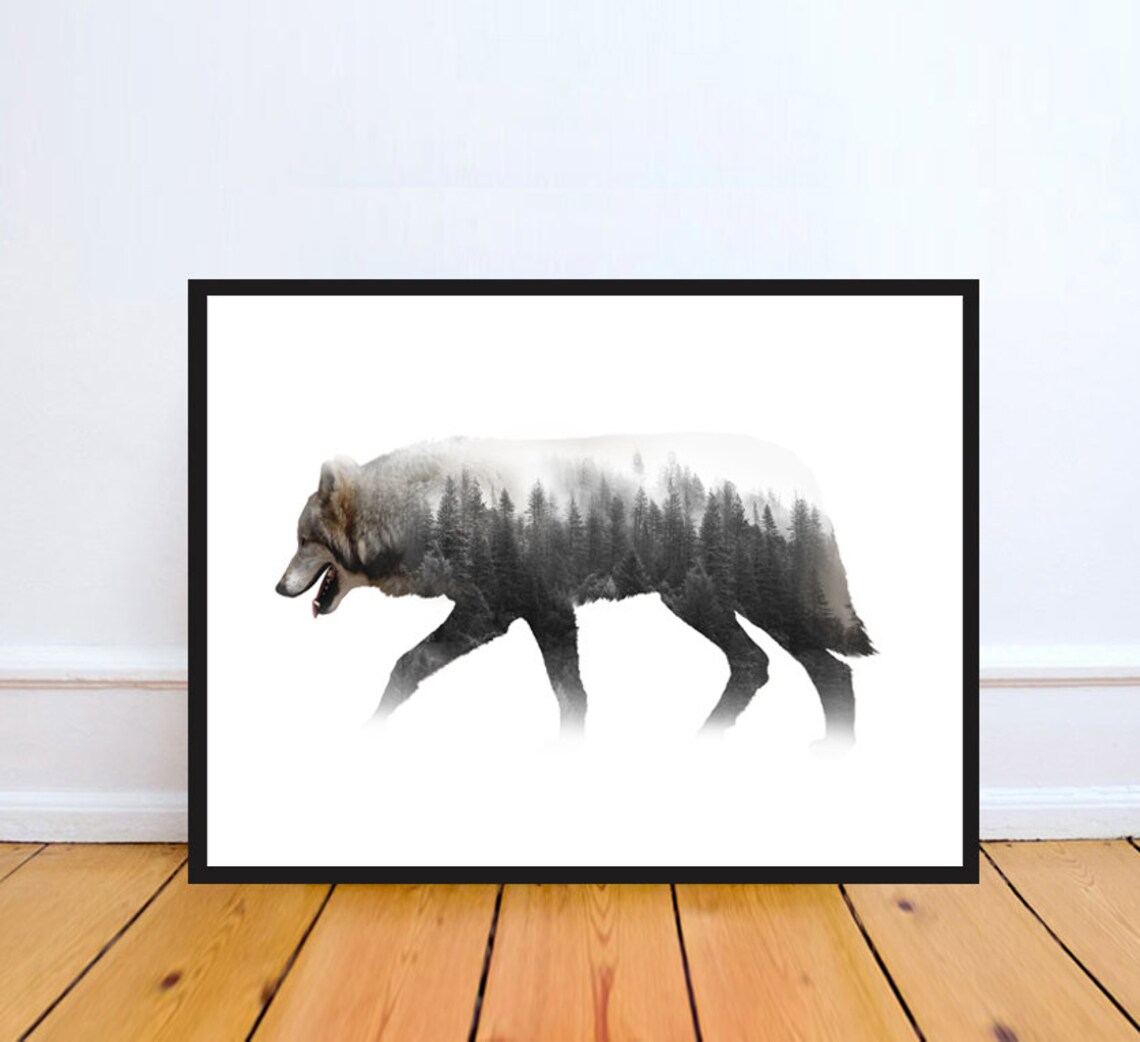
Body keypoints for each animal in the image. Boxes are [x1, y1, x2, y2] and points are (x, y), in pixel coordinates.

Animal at [276, 434, 875, 744]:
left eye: (305, 541)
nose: (278, 587)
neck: (432, 509)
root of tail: (799, 475)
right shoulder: (514, 614)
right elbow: (409, 667)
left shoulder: (524, 614)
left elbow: (567, 694)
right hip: (698, 603)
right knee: (766, 665)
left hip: (748, 605)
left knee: (822, 669)